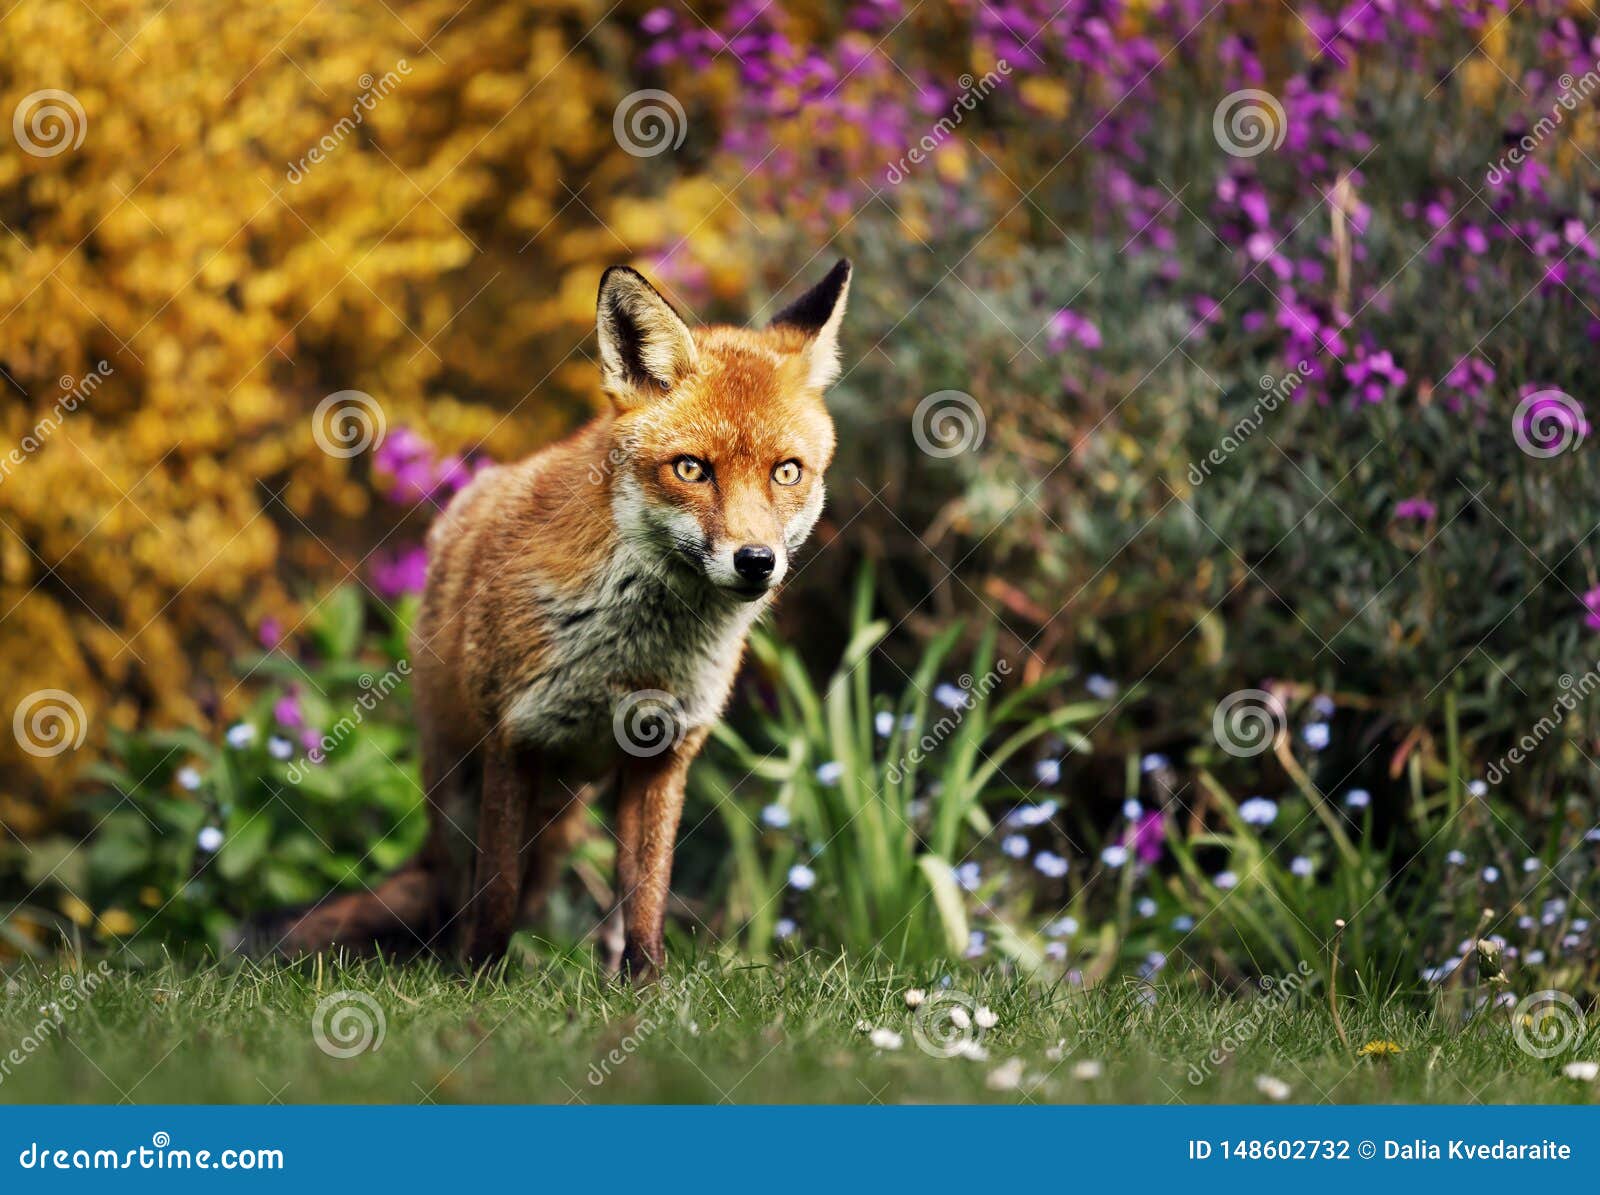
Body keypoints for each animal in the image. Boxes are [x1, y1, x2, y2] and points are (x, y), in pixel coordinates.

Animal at [273, 258, 852, 978]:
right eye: (692, 469)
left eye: (787, 472)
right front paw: (480, 983)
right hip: (461, 793)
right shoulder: (513, 739)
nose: (756, 561)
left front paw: (645, 988)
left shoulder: (664, 756)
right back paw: (450, 963)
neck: (635, 659)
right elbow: (496, 894)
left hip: (568, 815)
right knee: (456, 894)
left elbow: (647, 898)